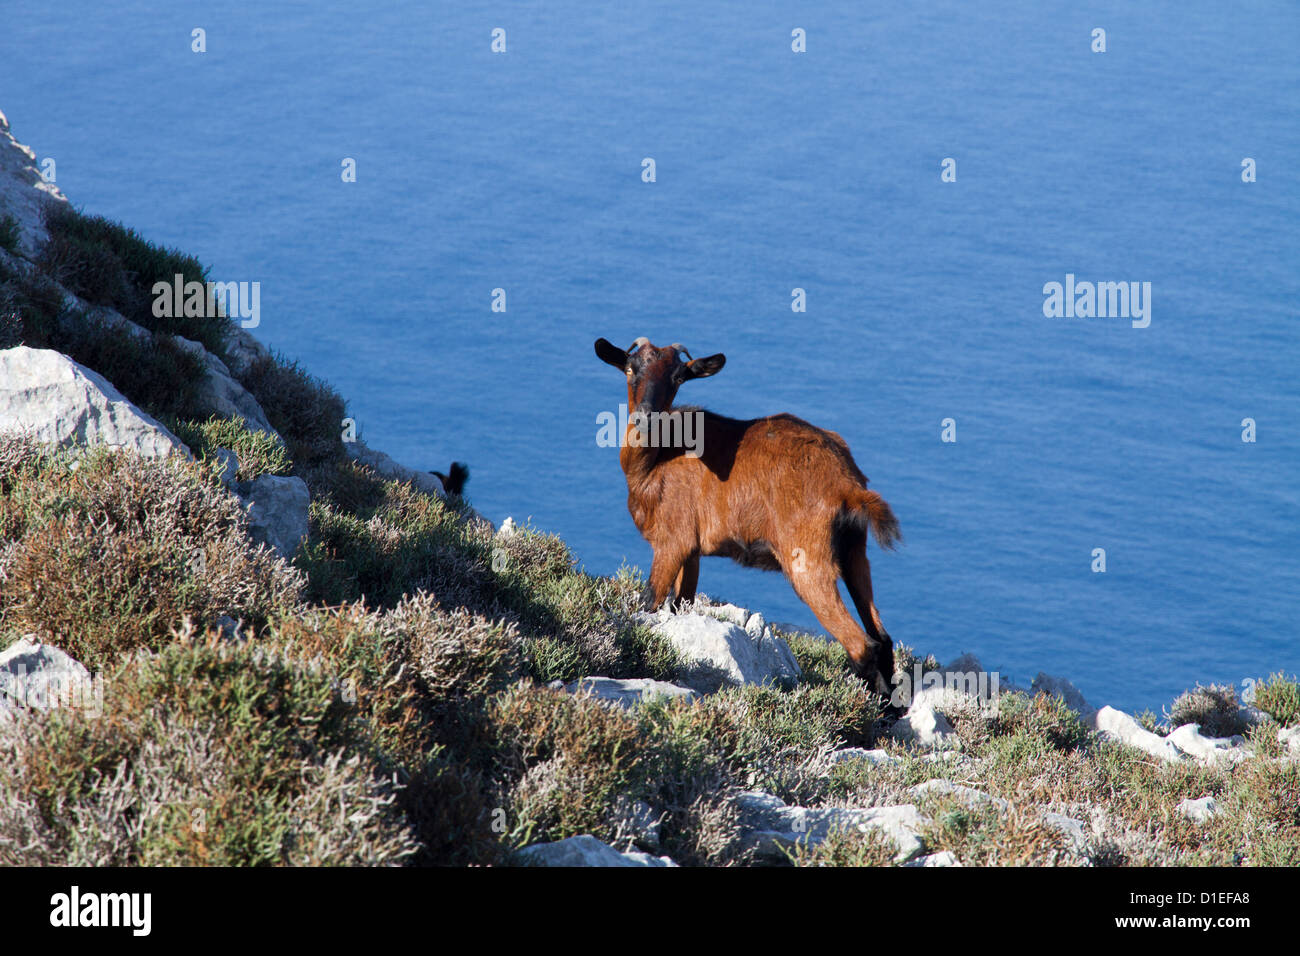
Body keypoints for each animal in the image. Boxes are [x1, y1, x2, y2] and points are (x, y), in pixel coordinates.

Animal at [594, 336, 901, 701]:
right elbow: (682, 602)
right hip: (855, 551)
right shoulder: (692, 550)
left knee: (861, 644)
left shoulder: (672, 541)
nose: (645, 418)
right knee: (883, 638)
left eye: (678, 377)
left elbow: (651, 602)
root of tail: (848, 485)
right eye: (630, 368)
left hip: (807, 559)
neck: (657, 462)